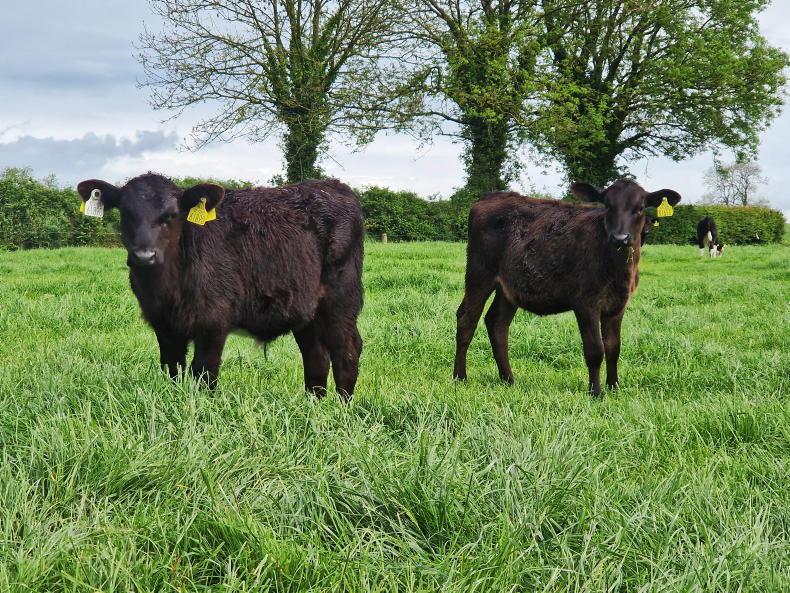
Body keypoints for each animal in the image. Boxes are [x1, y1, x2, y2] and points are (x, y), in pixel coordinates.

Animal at [76, 173, 364, 398]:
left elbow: (204, 373)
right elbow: (172, 369)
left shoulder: (213, 322)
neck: (168, 289)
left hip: (341, 299)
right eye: (125, 213)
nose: (144, 256)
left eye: (172, 215)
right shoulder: (163, 326)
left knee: (346, 350)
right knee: (316, 355)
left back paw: (341, 409)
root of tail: (334, 186)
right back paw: (313, 407)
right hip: (306, 309)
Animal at [453, 179, 681, 397]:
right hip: (479, 273)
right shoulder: (585, 302)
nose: (620, 237)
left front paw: (614, 387)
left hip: (509, 287)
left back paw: (508, 379)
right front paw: (596, 392)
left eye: (640, 208)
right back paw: (460, 377)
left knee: (497, 323)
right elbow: (595, 350)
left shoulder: (618, 304)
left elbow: (614, 347)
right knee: (467, 319)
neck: (617, 269)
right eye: (608, 206)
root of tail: (491, 197)